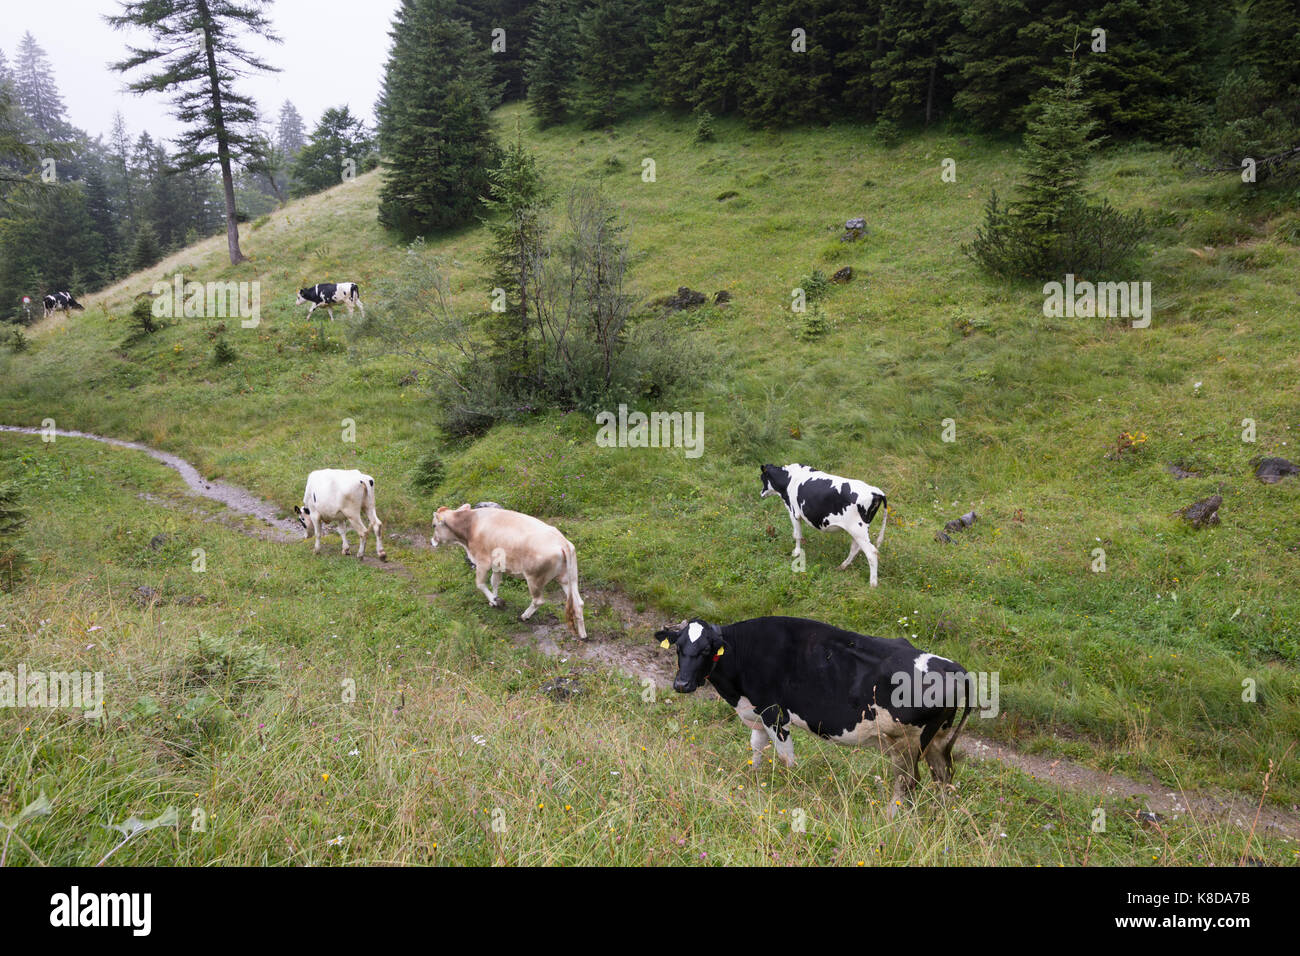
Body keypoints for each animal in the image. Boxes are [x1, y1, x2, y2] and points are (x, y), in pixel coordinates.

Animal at [431, 503, 586, 639]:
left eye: (434, 525)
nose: (432, 542)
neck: (471, 526)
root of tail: (562, 542)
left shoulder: (483, 562)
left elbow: (480, 584)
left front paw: (496, 601)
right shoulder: (497, 564)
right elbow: (494, 582)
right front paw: (493, 600)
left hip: (534, 578)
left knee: (539, 601)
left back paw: (524, 616)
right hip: (569, 578)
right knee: (578, 603)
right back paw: (583, 635)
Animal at [655, 616, 974, 817]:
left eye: (707, 650)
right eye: (679, 648)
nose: (681, 684)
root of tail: (953, 667)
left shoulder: (774, 714)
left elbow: (786, 757)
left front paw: (790, 788)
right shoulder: (754, 712)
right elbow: (756, 748)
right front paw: (754, 778)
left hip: (907, 742)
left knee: (909, 782)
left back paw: (890, 817)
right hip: (937, 739)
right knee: (944, 776)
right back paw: (941, 815)